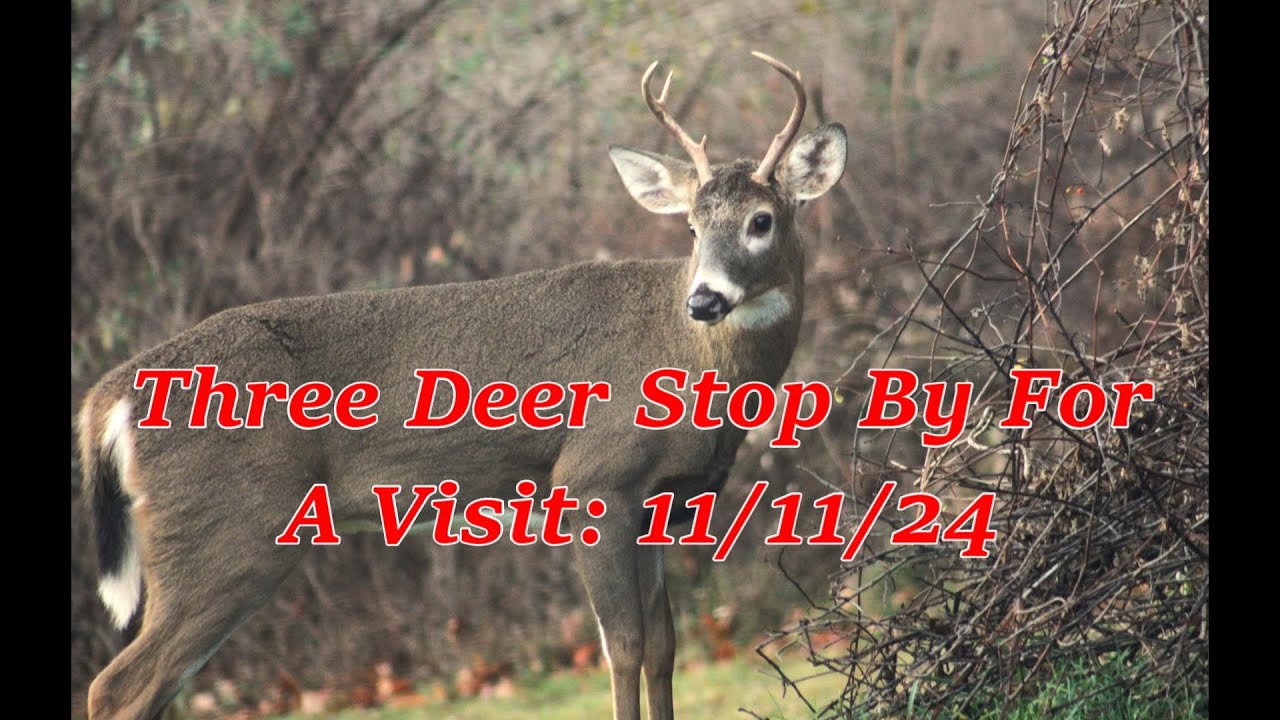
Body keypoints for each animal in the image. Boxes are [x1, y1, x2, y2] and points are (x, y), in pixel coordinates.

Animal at [77, 52, 847, 720]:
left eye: (761, 221)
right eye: (689, 227)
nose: (705, 299)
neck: (688, 360)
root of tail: (107, 397)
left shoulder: (664, 504)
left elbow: (663, 647)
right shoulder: (593, 478)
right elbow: (622, 647)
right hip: (229, 528)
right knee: (119, 686)